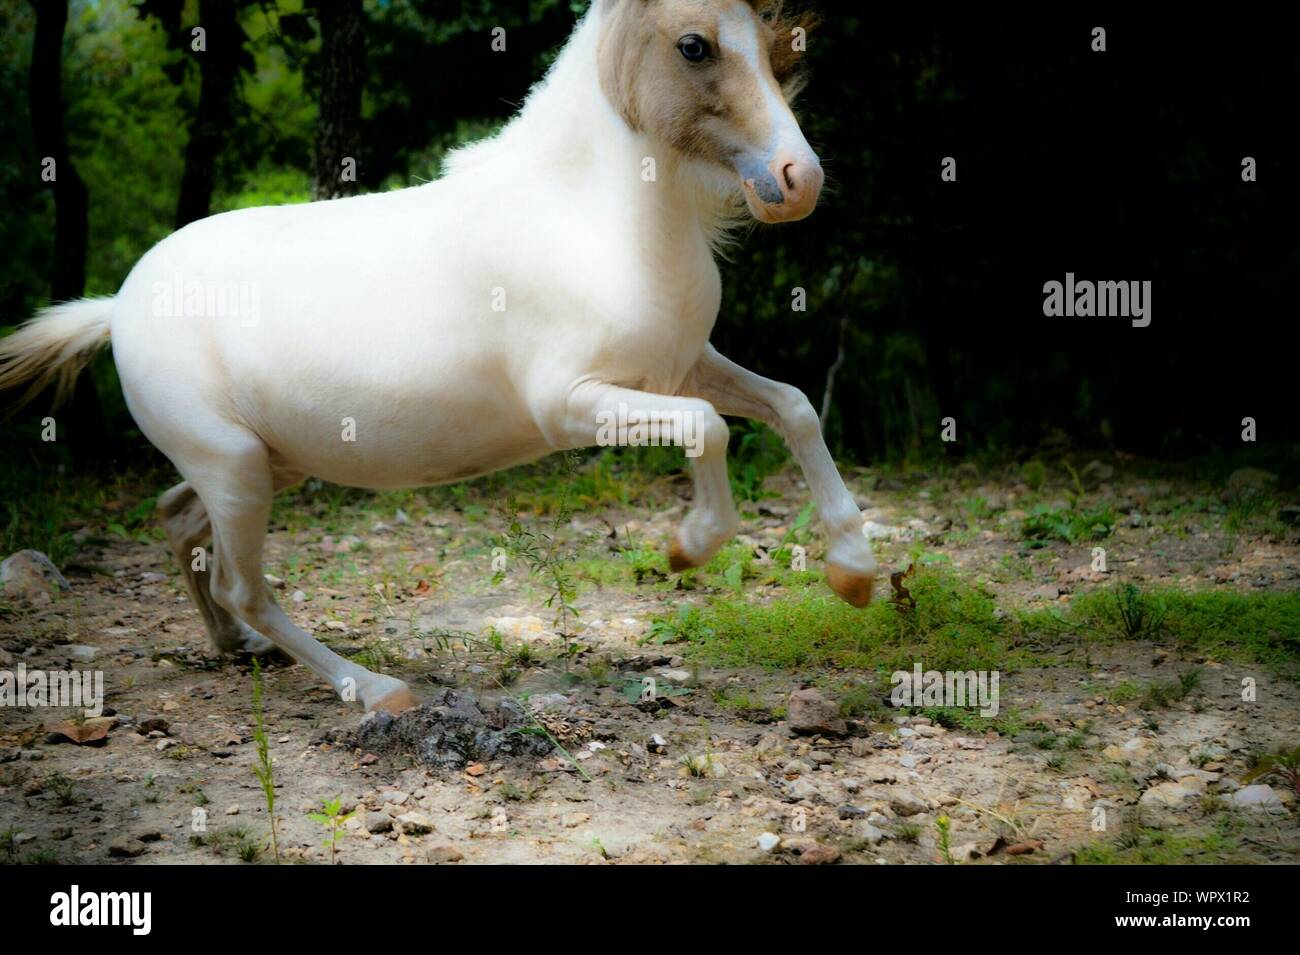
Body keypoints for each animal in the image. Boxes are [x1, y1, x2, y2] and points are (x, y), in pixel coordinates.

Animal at [0, 0, 878, 715]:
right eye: (694, 45)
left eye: (768, 38)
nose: (799, 180)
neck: (589, 222)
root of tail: (117, 305)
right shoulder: (575, 404)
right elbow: (710, 429)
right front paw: (686, 546)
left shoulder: (683, 366)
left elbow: (792, 405)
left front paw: (855, 570)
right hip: (236, 468)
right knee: (241, 584)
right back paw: (373, 689)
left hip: (265, 462)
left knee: (178, 520)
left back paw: (234, 650)